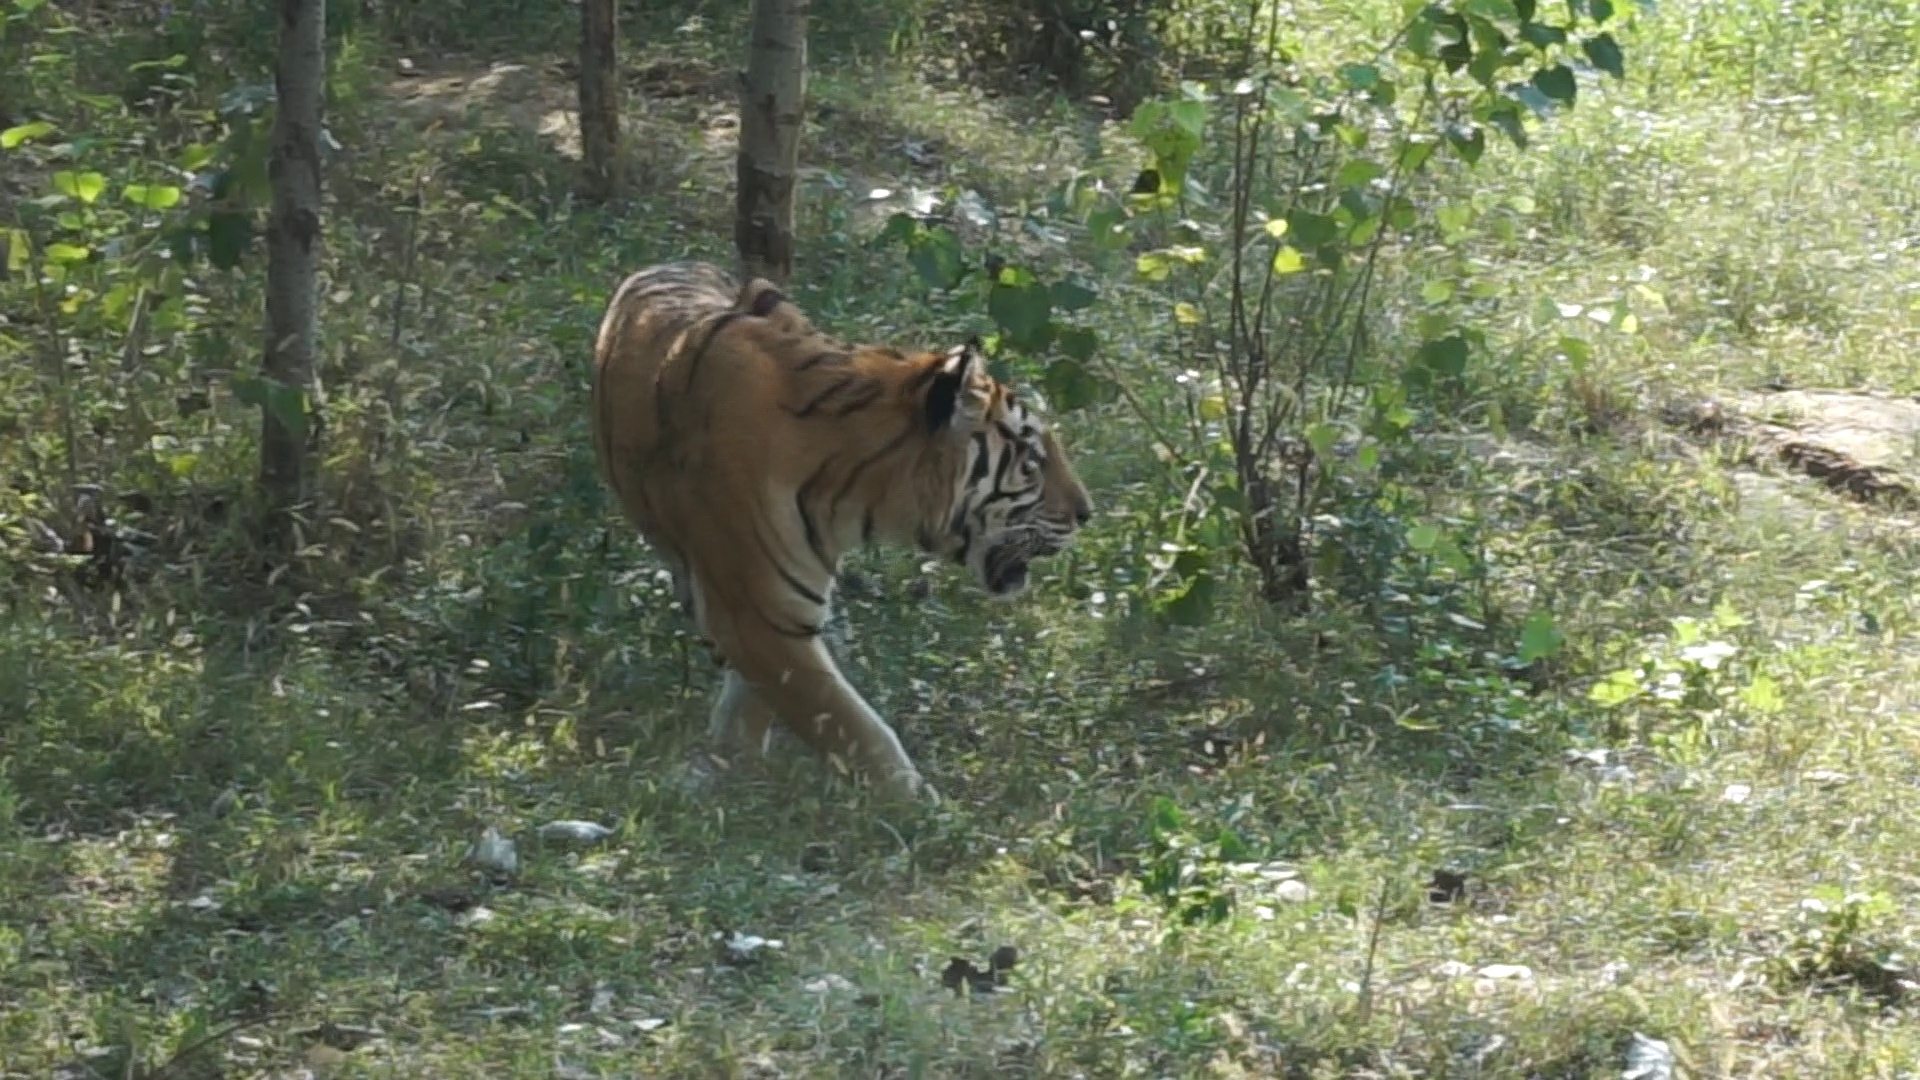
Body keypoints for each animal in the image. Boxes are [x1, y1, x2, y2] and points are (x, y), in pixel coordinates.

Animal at [589, 261, 1093, 803]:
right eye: (1033, 460)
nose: (1088, 513)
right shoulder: (762, 617)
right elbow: (856, 728)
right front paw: (923, 812)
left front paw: (736, 764)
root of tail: (679, 263)